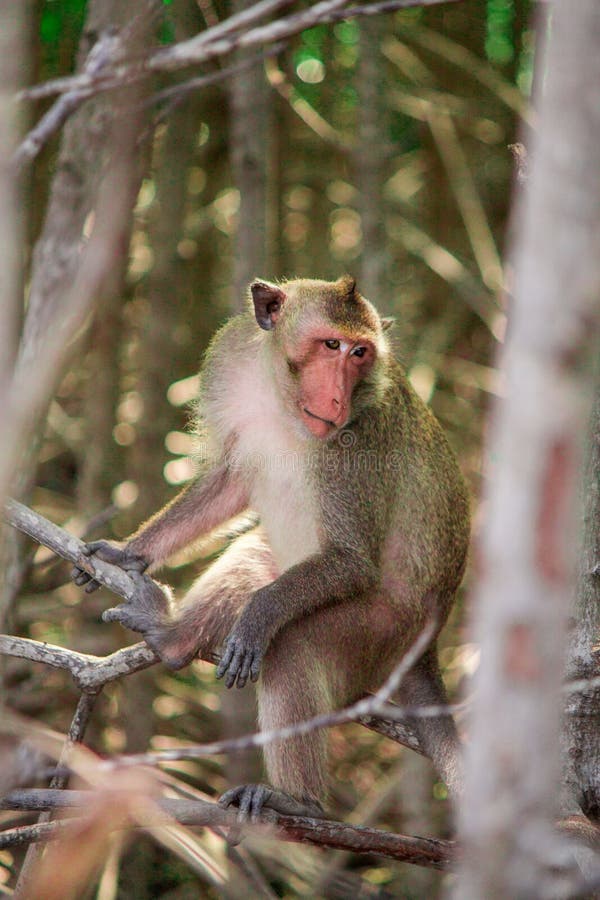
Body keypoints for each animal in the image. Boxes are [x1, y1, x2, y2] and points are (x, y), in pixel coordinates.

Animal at [72, 275, 470, 820]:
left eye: (361, 353)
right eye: (331, 345)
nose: (338, 400)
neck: (282, 397)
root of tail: (428, 642)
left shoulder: (360, 441)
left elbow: (350, 560)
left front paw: (257, 618)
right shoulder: (231, 364)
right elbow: (230, 481)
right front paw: (128, 551)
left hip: (381, 630)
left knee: (295, 644)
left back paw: (298, 802)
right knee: (253, 559)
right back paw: (172, 639)